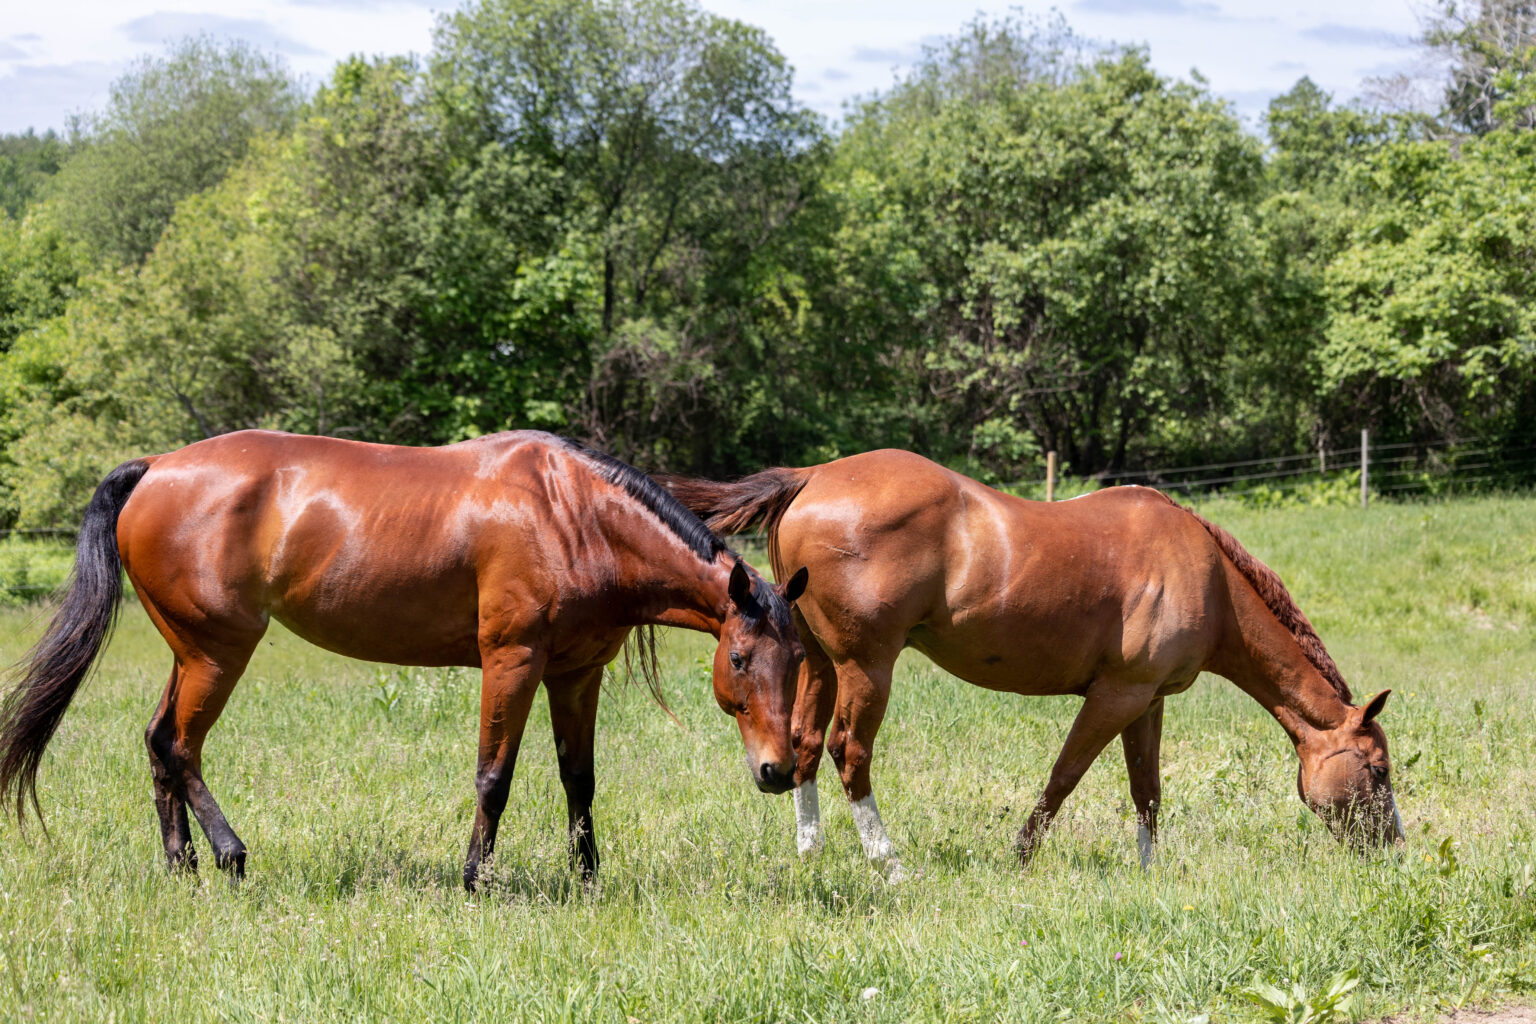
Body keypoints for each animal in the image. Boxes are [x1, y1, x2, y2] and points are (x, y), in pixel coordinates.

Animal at [0, 430, 809, 889]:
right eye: (741, 659)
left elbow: (579, 781)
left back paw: (181, 866)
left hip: (189, 649)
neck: (571, 515)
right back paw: (230, 857)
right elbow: (494, 777)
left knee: (158, 742)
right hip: (217, 652)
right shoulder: (512, 661)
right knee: (179, 745)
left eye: (800, 662)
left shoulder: (576, 674)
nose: (778, 771)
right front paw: (475, 879)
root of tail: (156, 467)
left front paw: (588, 880)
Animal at [665, 449, 1403, 877]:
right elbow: (1064, 778)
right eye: (1379, 769)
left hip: (818, 662)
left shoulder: (1148, 700)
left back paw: (812, 853)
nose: (1393, 851)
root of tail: (811, 478)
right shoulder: (1115, 696)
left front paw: (1149, 873)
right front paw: (1020, 858)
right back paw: (888, 862)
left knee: (806, 745)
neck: (1207, 576)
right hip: (866, 668)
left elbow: (1147, 790)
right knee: (851, 752)